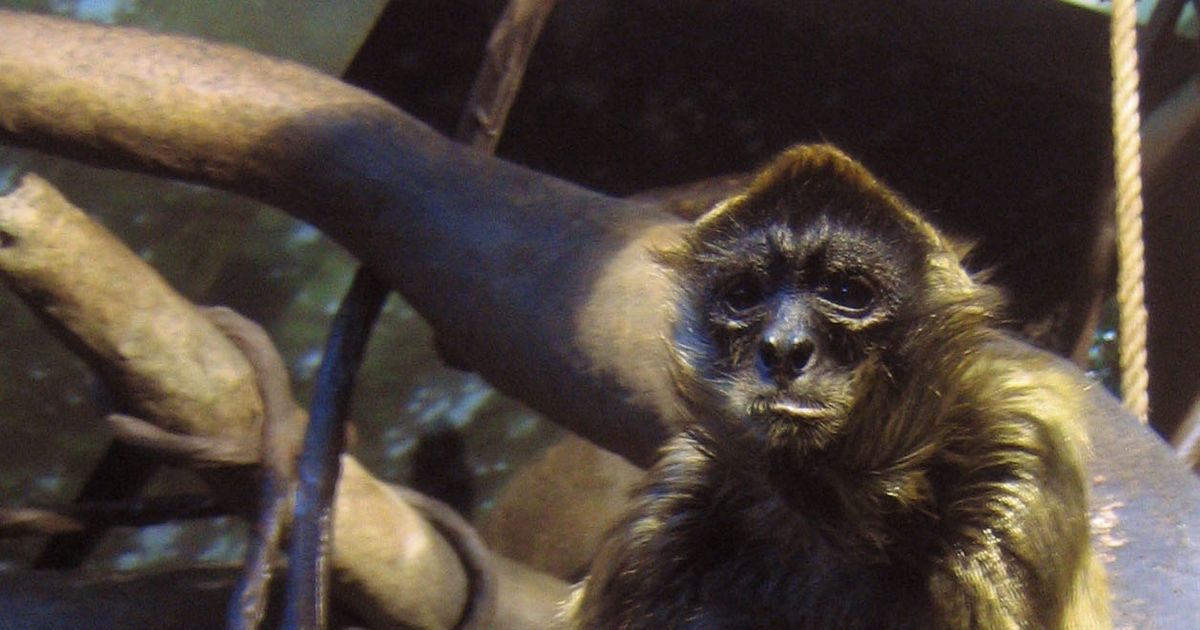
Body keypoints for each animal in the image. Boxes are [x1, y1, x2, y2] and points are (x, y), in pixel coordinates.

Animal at [568, 144, 1108, 629]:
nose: (784, 349)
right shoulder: (664, 513)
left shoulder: (1020, 454)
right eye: (743, 295)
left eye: (846, 292)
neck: (836, 512)